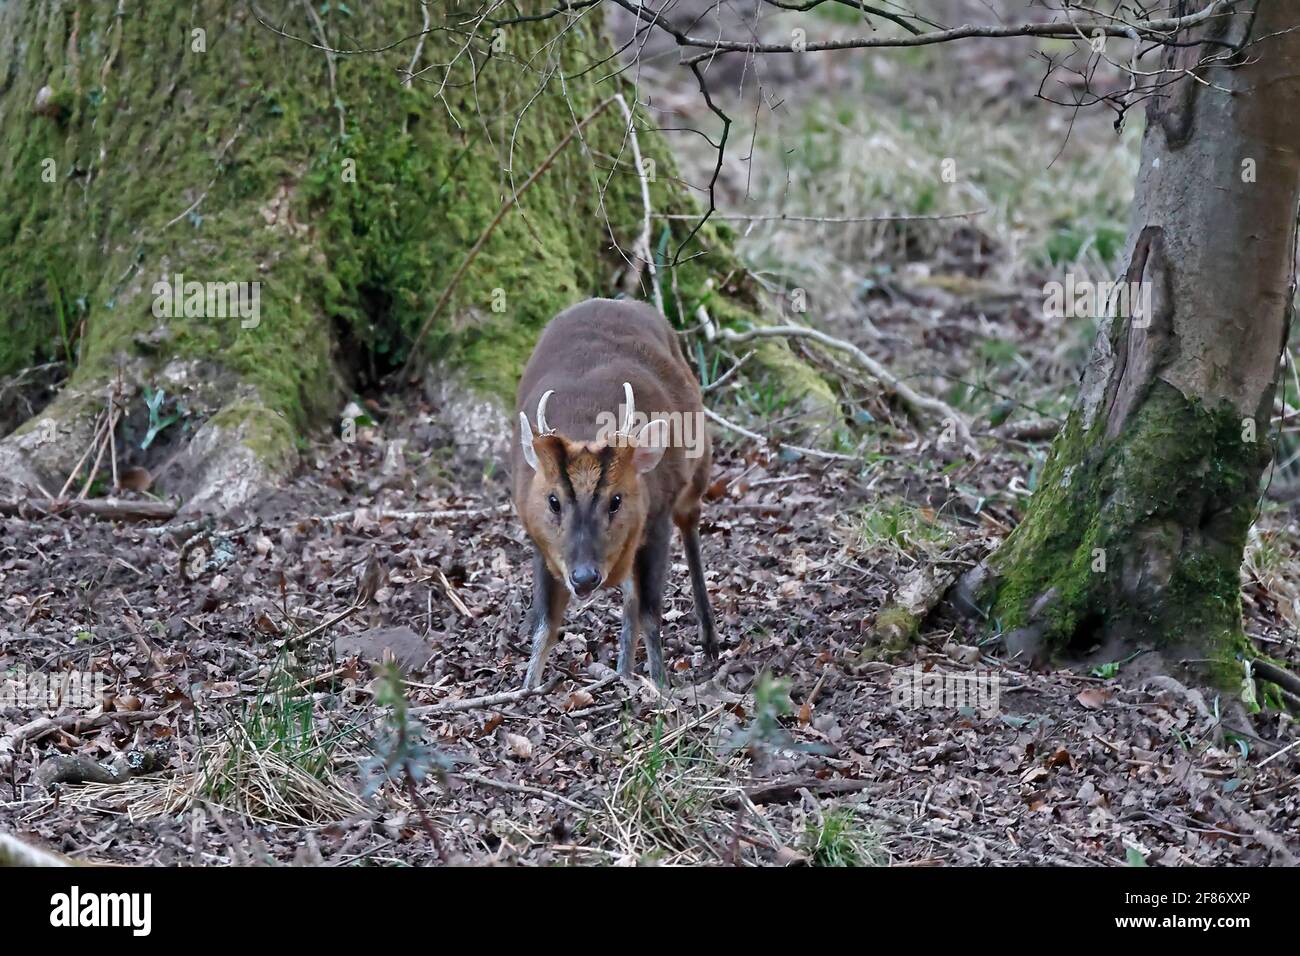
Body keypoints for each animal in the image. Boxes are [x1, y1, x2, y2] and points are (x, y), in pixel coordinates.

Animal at [512, 298, 717, 689]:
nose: (584, 577)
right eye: (553, 501)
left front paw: (661, 685)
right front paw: (527, 687)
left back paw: (709, 638)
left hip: (698, 465)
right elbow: (545, 623)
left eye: (616, 500)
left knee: (690, 525)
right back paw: (622, 670)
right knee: (630, 595)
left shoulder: (656, 518)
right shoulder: (540, 543)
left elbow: (651, 611)